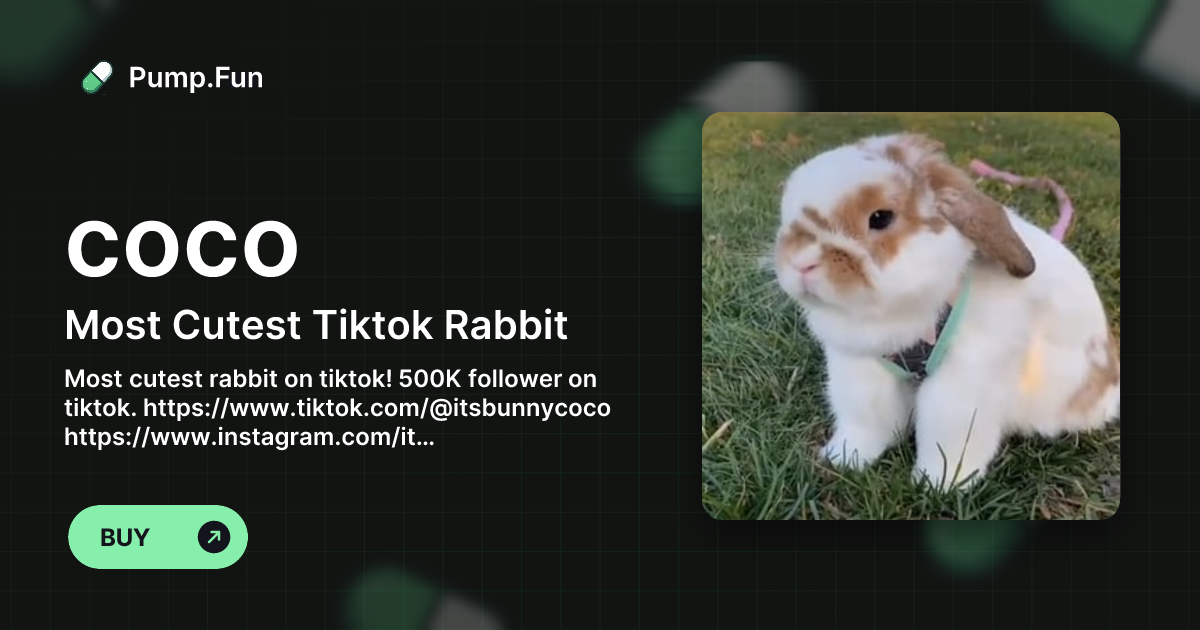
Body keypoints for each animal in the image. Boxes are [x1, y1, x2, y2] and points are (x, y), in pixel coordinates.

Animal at [772, 133, 1119, 490]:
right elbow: (865, 421)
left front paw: (940, 485)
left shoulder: (964, 382)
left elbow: (948, 433)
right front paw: (844, 459)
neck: (895, 317)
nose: (801, 263)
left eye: (880, 217)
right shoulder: (860, 371)